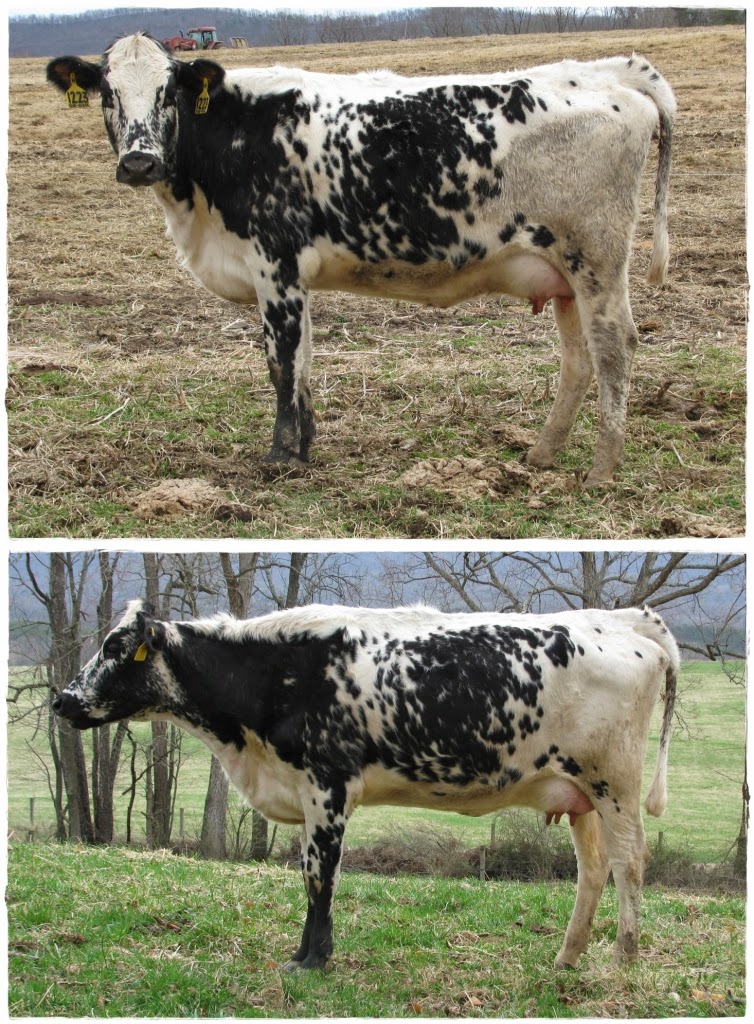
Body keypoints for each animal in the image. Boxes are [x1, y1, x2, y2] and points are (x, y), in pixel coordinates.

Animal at [46, 35, 675, 486]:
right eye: (108, 93)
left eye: (168, 94)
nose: (139, 162)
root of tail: (604, 70)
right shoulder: (292, 280)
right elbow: (302, 363)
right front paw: (305, 448)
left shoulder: (274, 266)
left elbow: (281, 364)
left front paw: (280, 459)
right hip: (563, 272)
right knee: (579, 359)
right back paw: (541, 455)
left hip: (596, 258)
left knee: (615, 348)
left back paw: (601, 470)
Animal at [54, 599, 678, 972]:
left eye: (115, 649)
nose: (61, 699)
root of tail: (623, 617)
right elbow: (310, 874)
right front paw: (304, 954)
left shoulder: (327, 788)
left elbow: (318, 876)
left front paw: (312, 960)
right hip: (579, 794)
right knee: (593, 870)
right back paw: (567, 959)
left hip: (615, 785)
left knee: (629, 863)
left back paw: (622, 962)